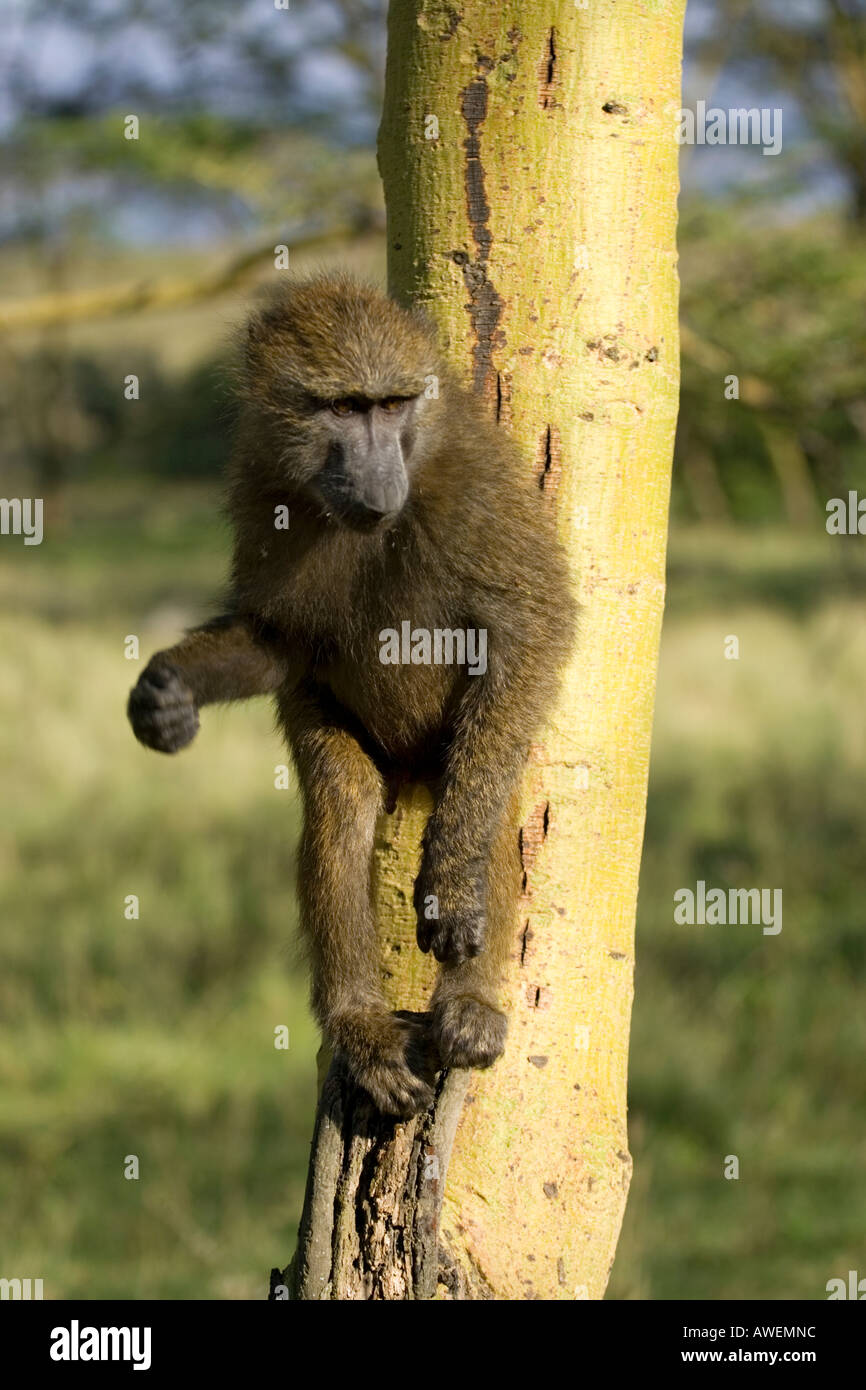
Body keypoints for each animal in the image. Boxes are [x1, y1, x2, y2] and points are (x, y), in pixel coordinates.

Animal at [128, 272, 576, 1117]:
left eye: (392, 406)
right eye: (342, 408)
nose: (379, 483)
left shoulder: (477, 488)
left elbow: (532, 625)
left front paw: (453, 895)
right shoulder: (261, 484)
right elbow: (279, 641)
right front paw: (166, 691)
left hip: (459, 752)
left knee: (489, 797)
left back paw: (470, 1005)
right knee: (339, 816)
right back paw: (361, 1028)